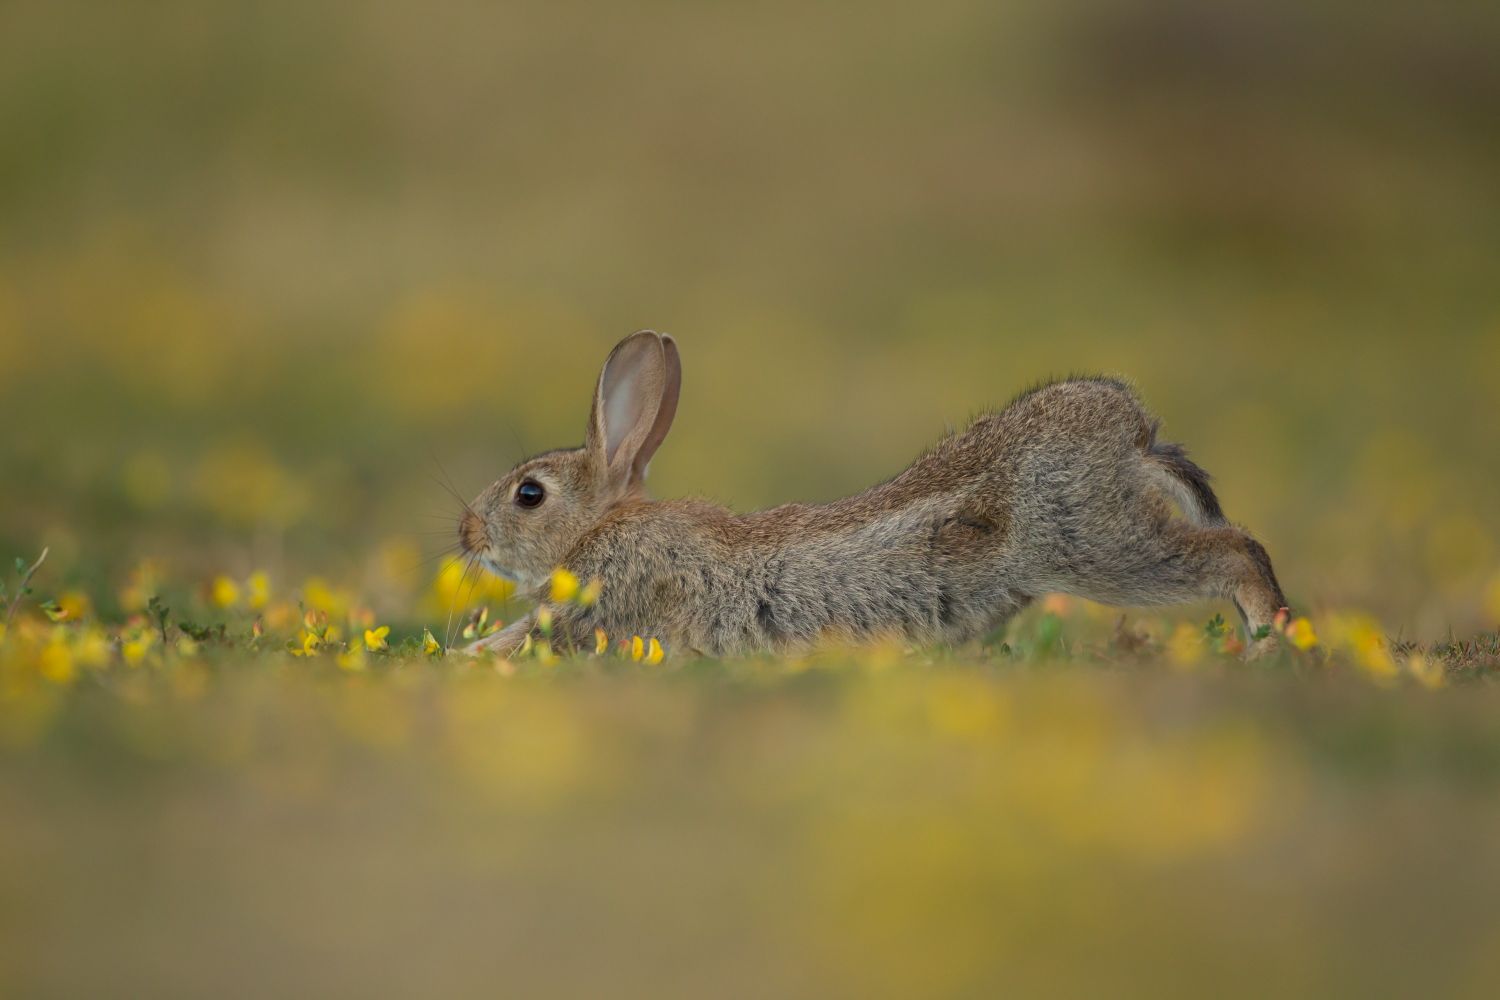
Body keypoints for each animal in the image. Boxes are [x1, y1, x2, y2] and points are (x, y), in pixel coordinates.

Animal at [460, 330, 1289, 659]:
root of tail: (1133, 432)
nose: (466, 533)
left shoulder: (611, 600)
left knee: (1235, 551)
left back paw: (1269, 635)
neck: (598, 529)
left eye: (529, 494)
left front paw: (471, 655)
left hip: (1094, 544)